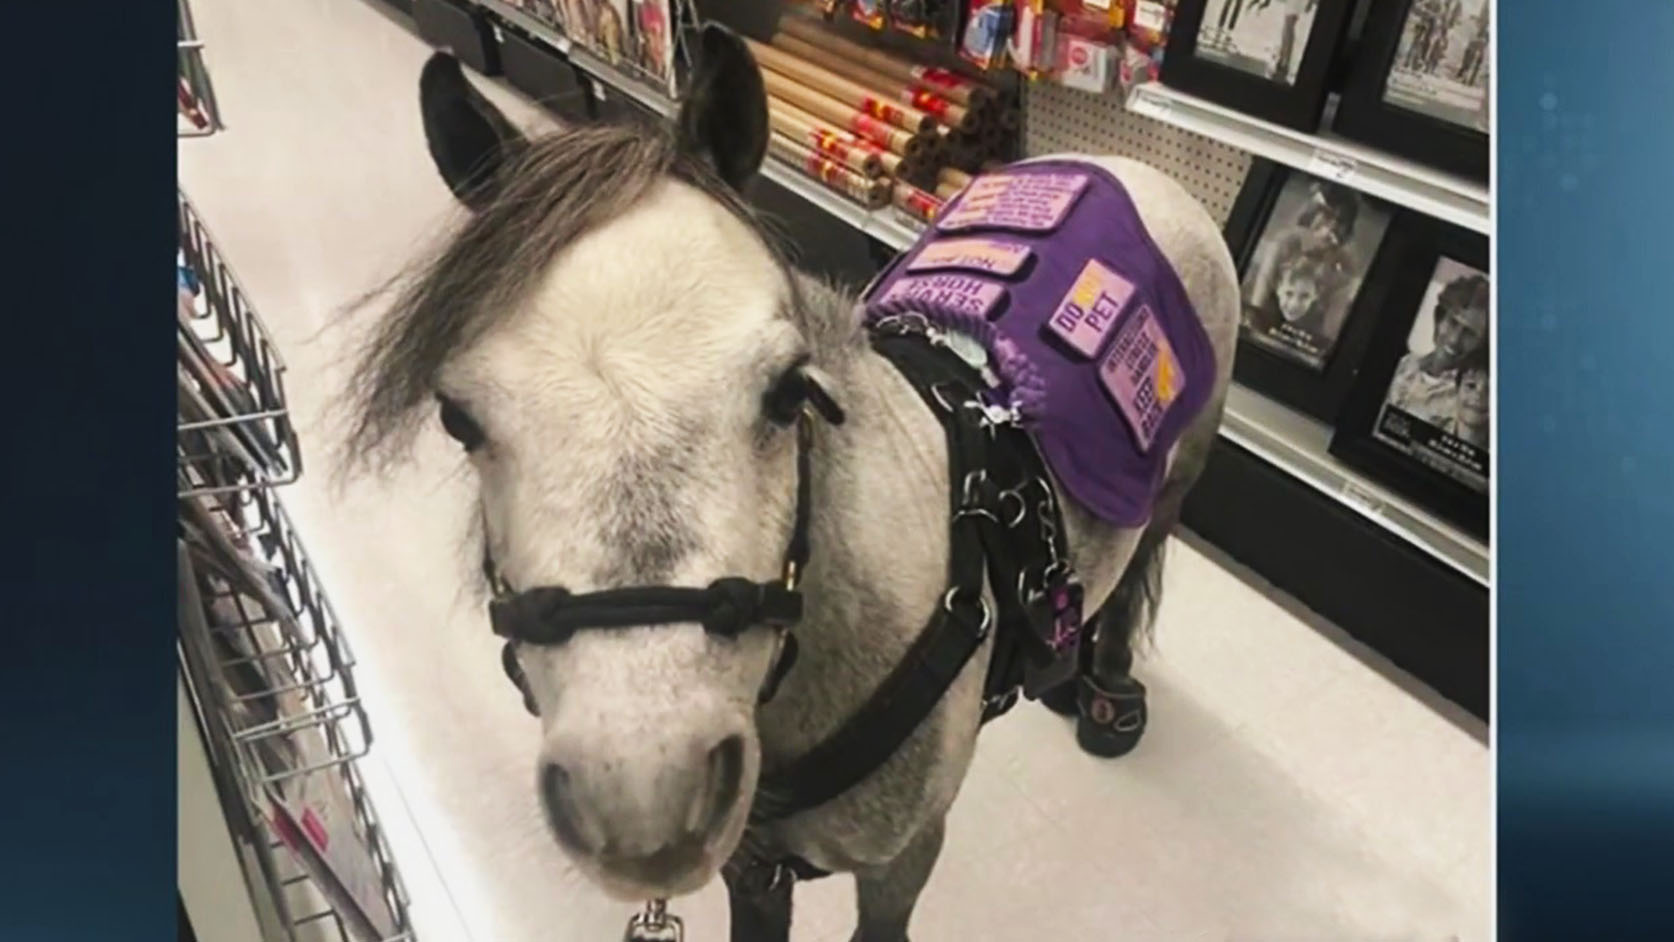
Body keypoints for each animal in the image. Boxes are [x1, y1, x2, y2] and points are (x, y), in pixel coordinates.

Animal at [342, 26, 1238, 942]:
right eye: (459, 418)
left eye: (787, 391)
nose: (641, 796)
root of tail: (1135, 168)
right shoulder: (753, 860)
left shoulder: (901, 859)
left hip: (1180, 470)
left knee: (1142, 561)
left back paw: (1106, 691)